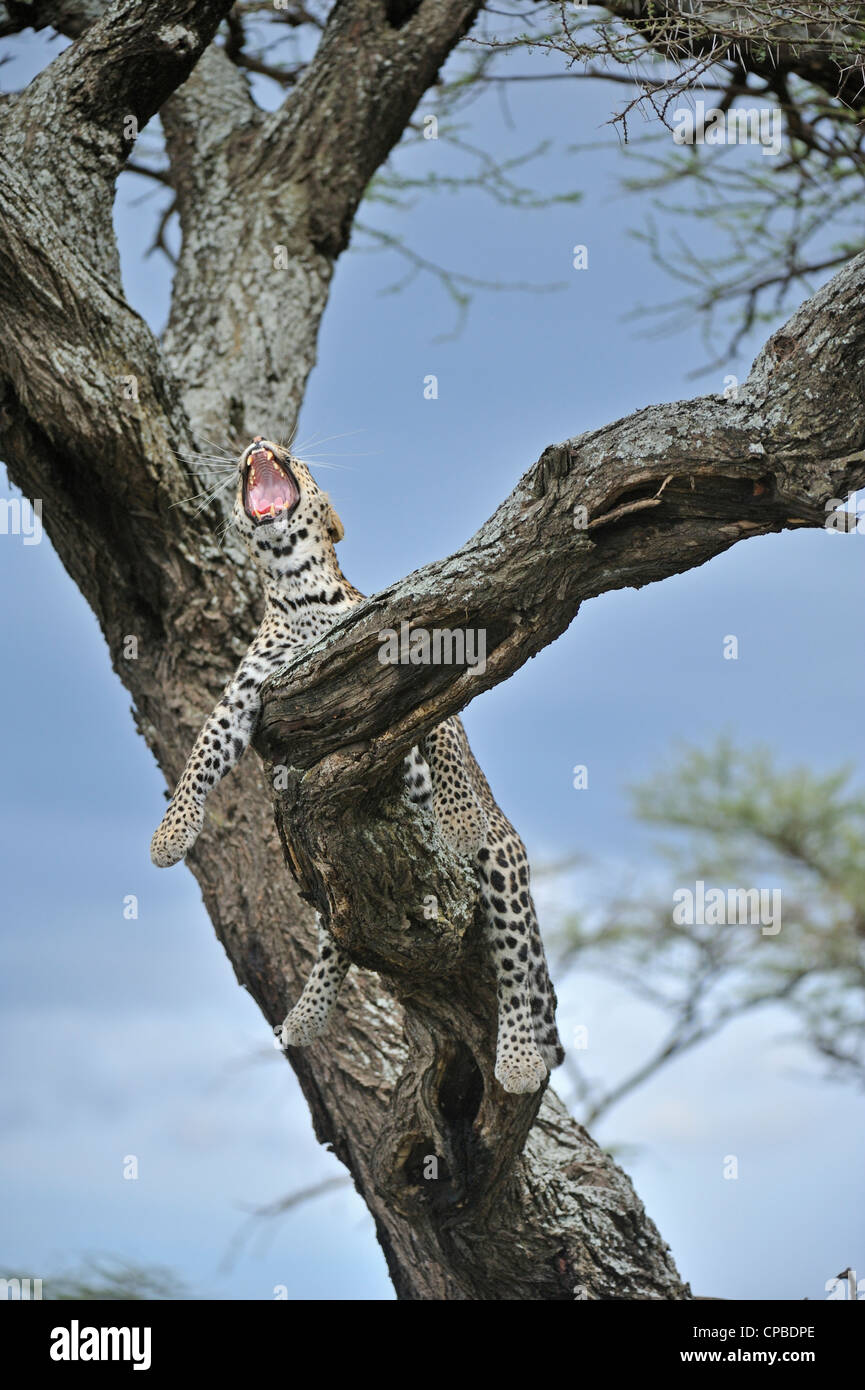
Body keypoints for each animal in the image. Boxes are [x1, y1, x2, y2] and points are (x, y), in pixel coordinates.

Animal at [151, 437, 564, 1094]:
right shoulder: (243, 699)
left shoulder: (412, 663)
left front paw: (456, 819)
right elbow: (202, 753)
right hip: (324, 873)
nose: (260, 441)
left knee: (516, 964)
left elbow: (445, 738)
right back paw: (307, 1013)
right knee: (336, 935)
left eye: (291, 455)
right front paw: (171, 833)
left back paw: (520, 1057)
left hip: (505, 864)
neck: (296, 586)